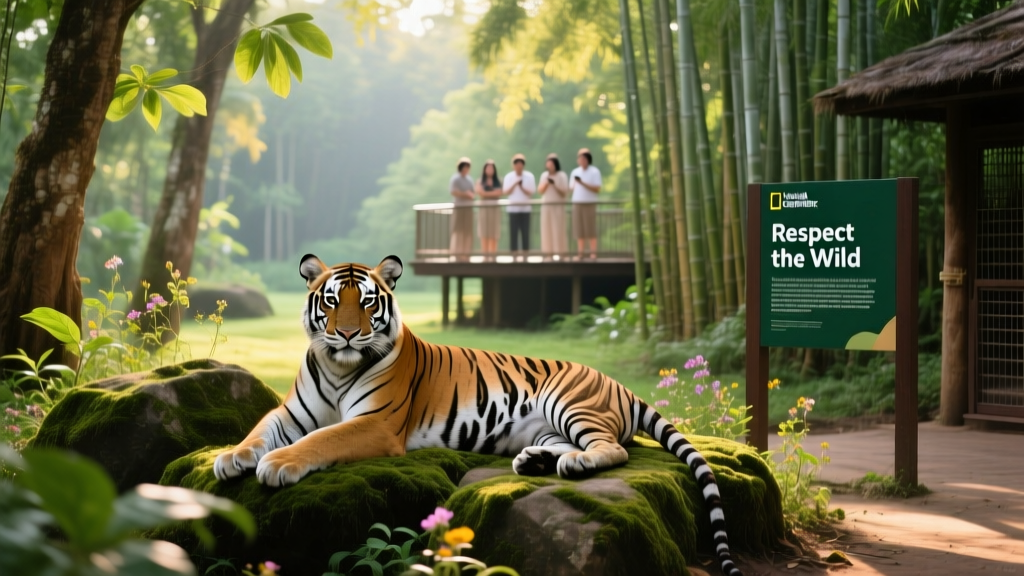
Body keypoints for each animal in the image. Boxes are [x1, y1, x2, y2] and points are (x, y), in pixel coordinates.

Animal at [214, 254, 743, 576]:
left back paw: (575, 464)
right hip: (549, 428)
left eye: (365, 301)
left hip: (568, 402)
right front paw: (232, 456)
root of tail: (618, 383)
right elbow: (260, 429)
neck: (336, 364)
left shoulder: (377, 423)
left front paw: (278, 464)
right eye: (330, 300)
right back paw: (534, 462)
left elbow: (321, 440)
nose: (345, 334)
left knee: (612, 448)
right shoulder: (290, 413)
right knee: (568, 447)